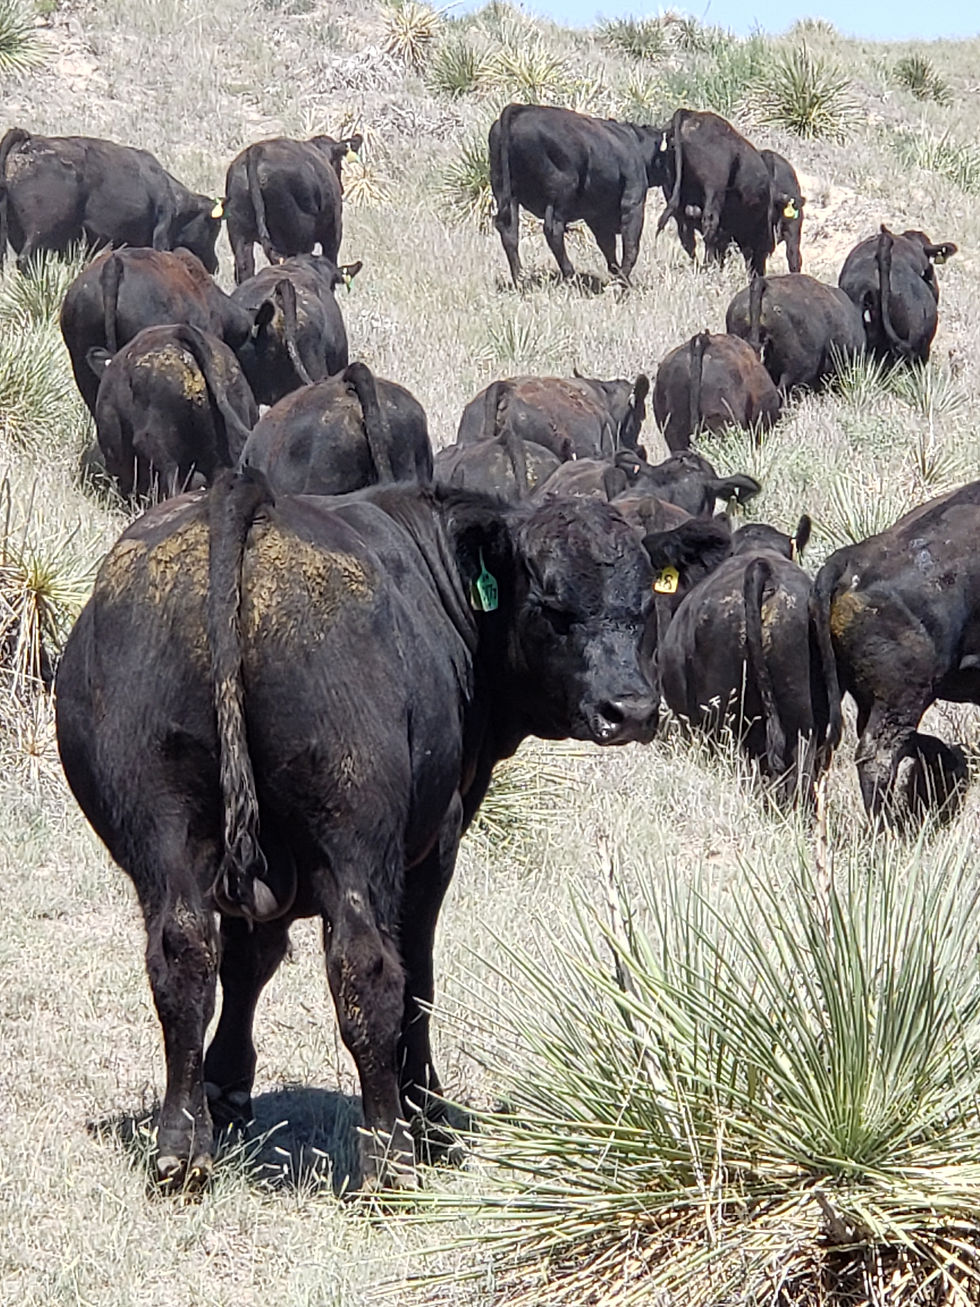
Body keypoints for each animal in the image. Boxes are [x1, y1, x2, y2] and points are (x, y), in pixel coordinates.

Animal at [56, 473, 669, 1192]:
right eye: (553, 608)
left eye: (645, 607)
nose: (629, 708)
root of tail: (247, 494)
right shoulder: (435, 841)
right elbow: (417, 979)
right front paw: (429, 1117)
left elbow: (248, 959)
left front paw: (226, 1087)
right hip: (352, 832)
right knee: (366, 968)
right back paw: (390, 1157)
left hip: (163, 819)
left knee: (184, 953)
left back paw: (183, 1145)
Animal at [223, 132, 363, 284]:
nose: (342, 188)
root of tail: (256, 150)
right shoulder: (334, 230)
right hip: (297, 236)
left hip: (239, 233)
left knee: (245, 269)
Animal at [488, 103, 665, 286]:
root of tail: (520, 109)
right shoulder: (633, 201)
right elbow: (631, 244)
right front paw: (625, 282)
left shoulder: (597, 215)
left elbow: (608, 246)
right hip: (562, 191)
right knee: (553, 231)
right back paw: (570, 275)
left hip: (504, 191)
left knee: (509, 230)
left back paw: (520, 279)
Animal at [654, 109, 774, 276]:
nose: (758, 273)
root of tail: (689, 114)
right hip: (714, 190)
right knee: (709, 226)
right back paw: (708, 266)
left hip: (672, 193)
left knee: (686, 235)